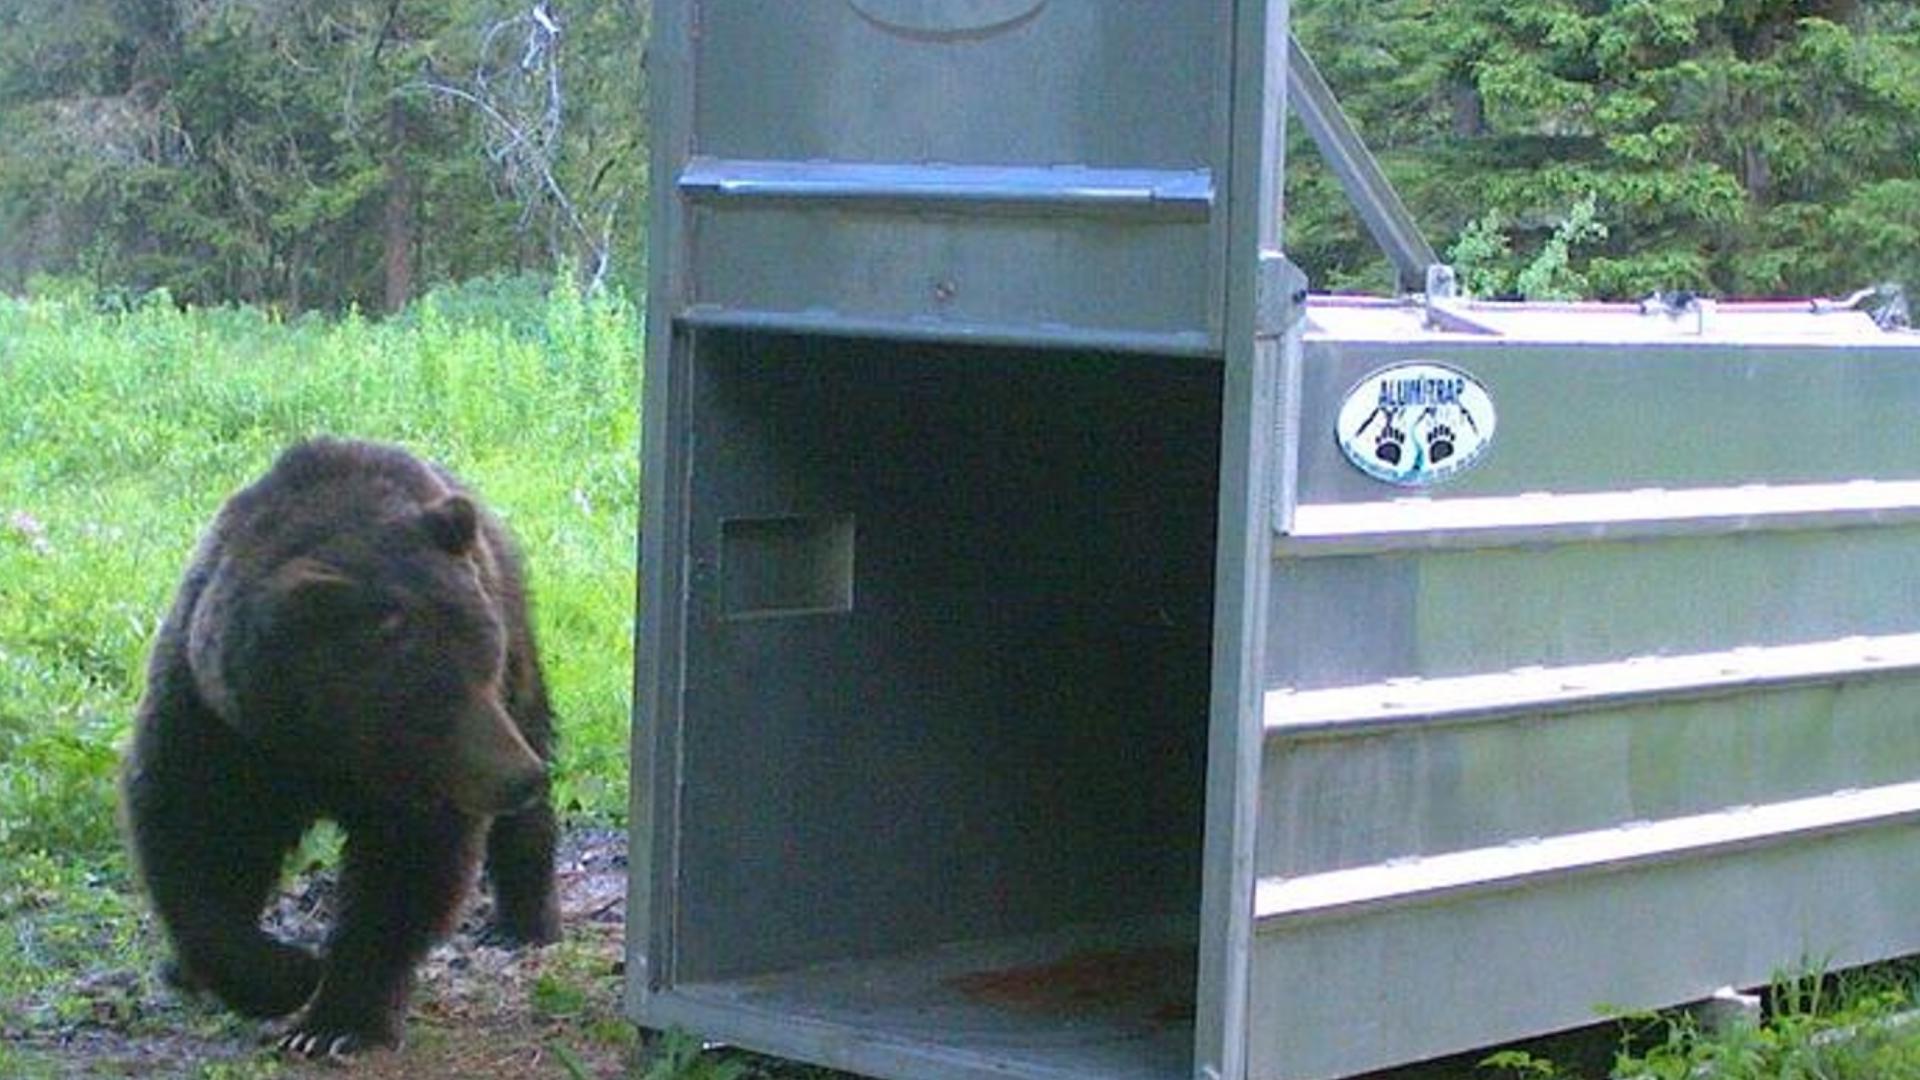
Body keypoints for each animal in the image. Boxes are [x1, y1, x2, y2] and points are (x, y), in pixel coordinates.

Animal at [121, 436, 561, 1058]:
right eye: (429, 701)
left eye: (484, 664)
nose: (519, 775)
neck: (325, 751)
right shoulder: (219, 729)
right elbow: (197, 839)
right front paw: (284, 973)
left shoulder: (423, 784)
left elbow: (403, 874)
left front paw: (333, 1022)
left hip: (517, 623)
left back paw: (522, 921)